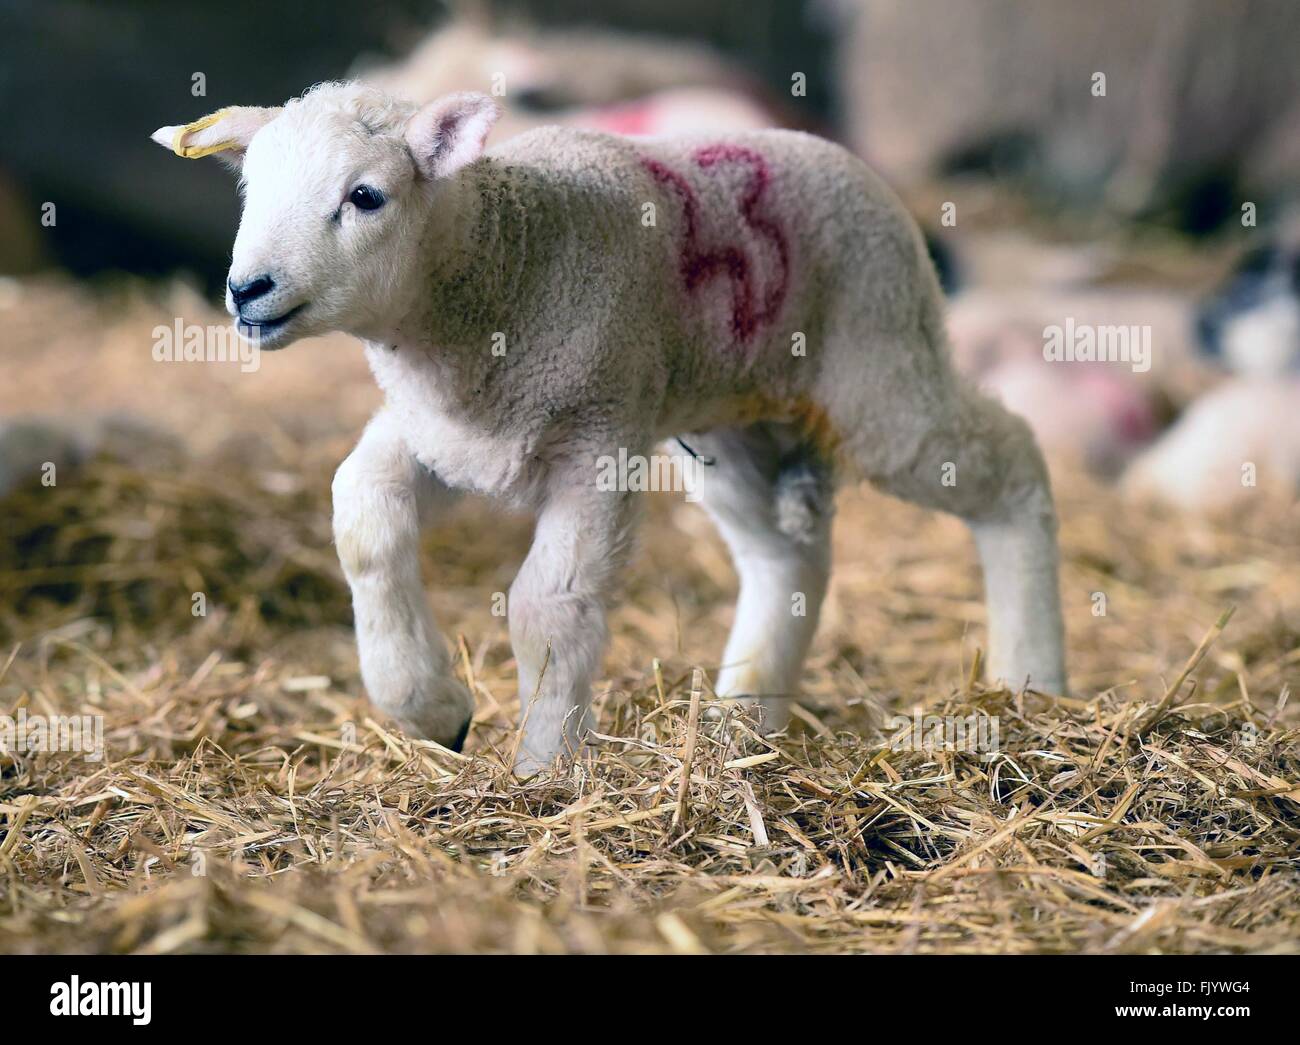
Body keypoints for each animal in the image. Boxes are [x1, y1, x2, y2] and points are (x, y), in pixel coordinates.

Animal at [151, 82, 1067, 773]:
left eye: (365, 196)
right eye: (250, 192)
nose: (247, 289)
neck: (499, 267)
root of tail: (851, 166)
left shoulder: (594, 439)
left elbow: (546, 608)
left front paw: (542, 771)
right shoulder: (452, 438)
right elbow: (362, 515)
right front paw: (429, 705)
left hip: (883, 369)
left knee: (1012, 463)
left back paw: (1035, 679)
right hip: (734, 422)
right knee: (788, 558)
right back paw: (742, 724)